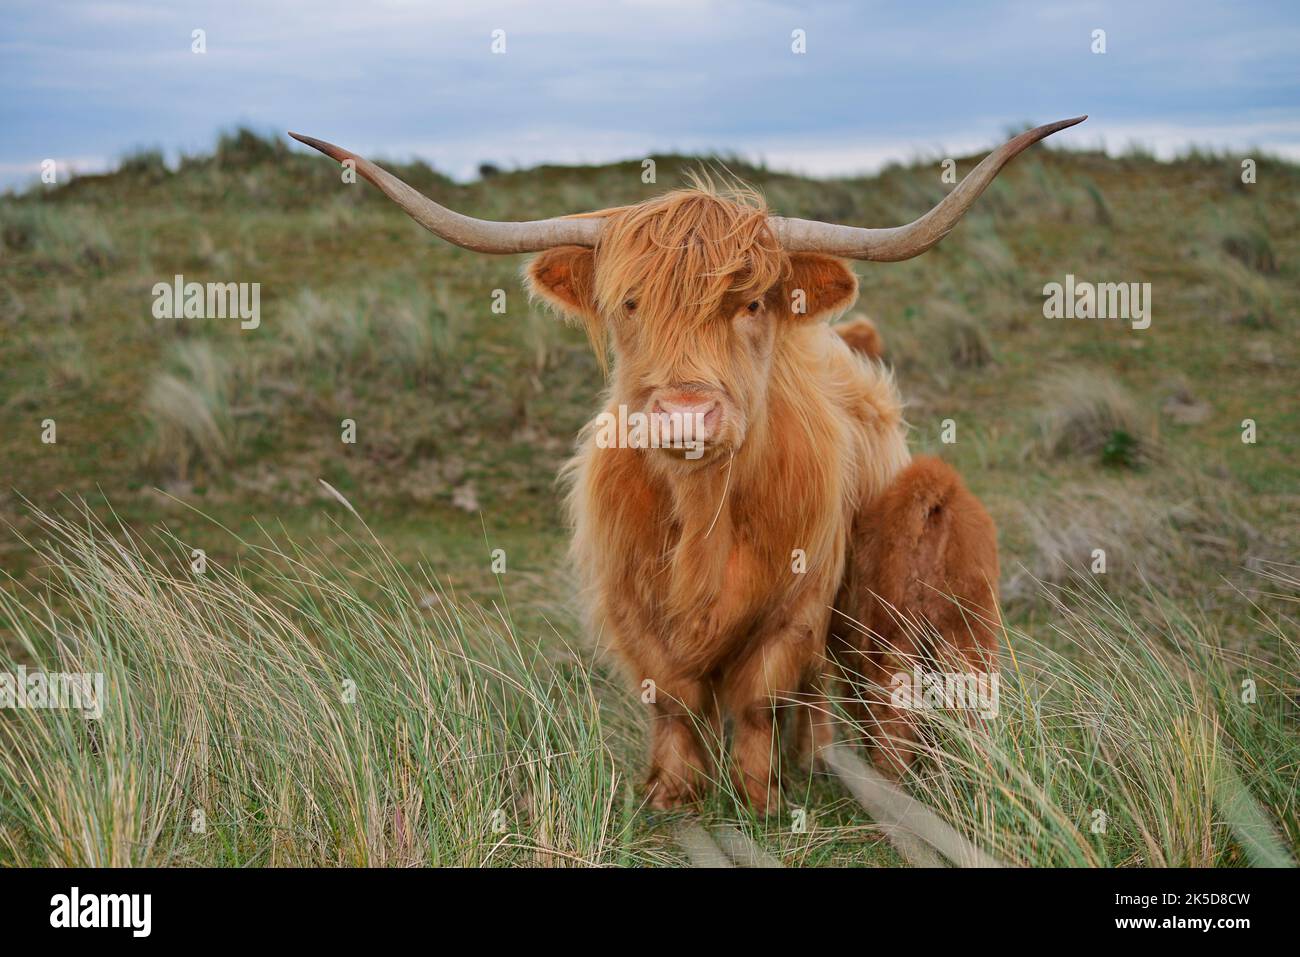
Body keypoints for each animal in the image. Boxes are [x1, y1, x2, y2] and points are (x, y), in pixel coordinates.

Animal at [292, 117, 1084, 812]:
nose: (683, 412)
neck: (705, 509)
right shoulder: (628, 599)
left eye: (753, 303)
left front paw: (761, 797)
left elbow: (763, 694)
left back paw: (814, 760)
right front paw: (672, 793)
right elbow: (670, 698)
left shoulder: (797, 603)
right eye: (629, 302)